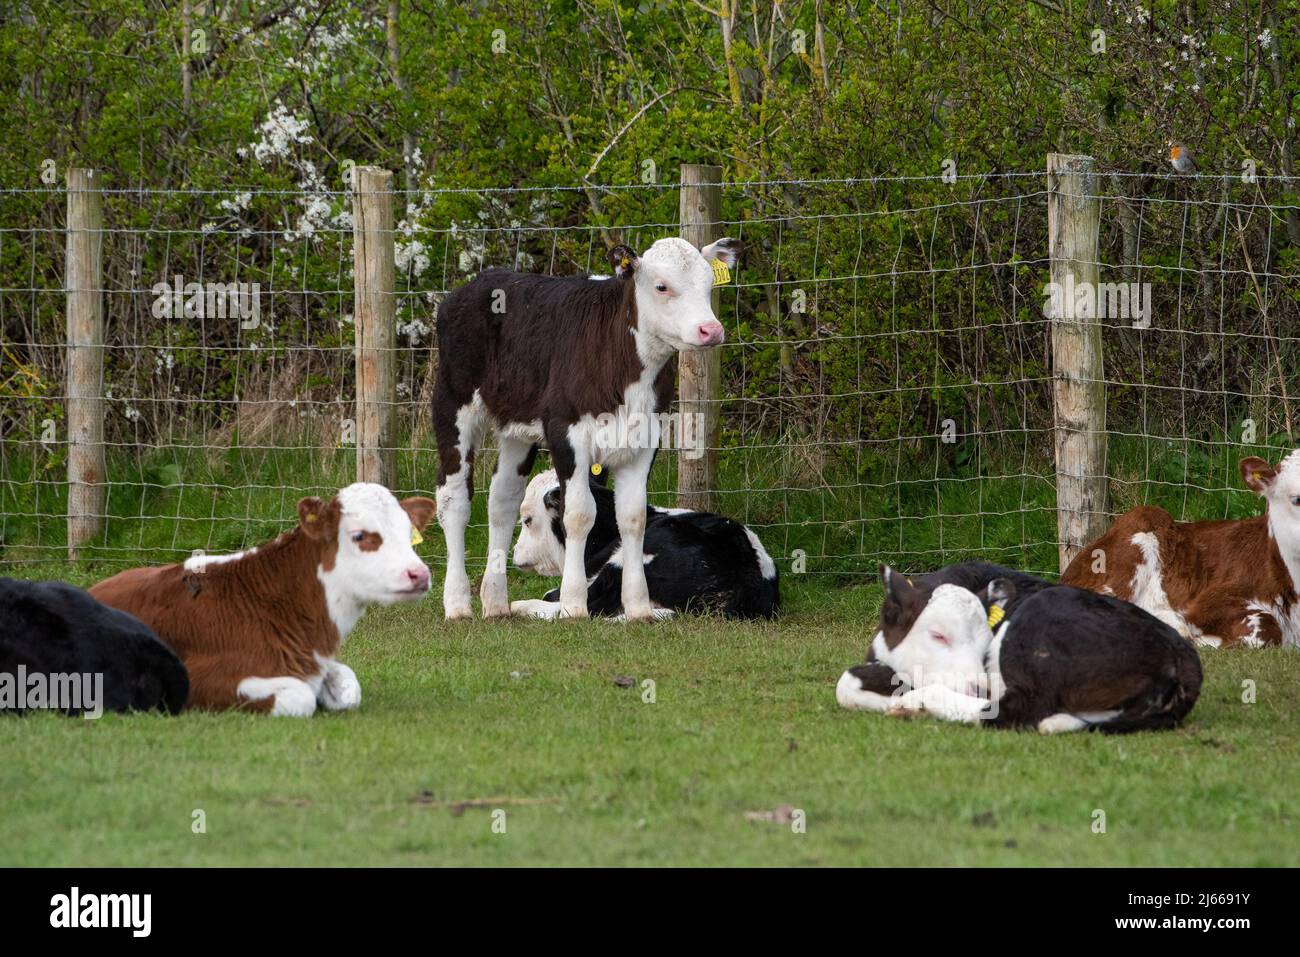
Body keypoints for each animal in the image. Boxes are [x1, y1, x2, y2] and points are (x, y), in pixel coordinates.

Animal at [433, 235, 742, 622]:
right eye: (661, 286)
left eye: (709, 284)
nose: (711, 330)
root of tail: (481, 279)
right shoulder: (566, 432)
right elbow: (579, 514)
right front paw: (573, 603)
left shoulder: (646, 436)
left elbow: (634, 517)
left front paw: (638, 606)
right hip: (452, 402)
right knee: (454, 499)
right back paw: (458, 603)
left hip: (515, 426)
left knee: (503, 500)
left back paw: (495, 601)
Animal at [836, 562, 1202, 734]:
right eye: (938, 635)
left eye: (985, 642)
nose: (978, 686)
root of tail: (1182, 654)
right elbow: (849, 682)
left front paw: (906, 701)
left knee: (1010, 711)